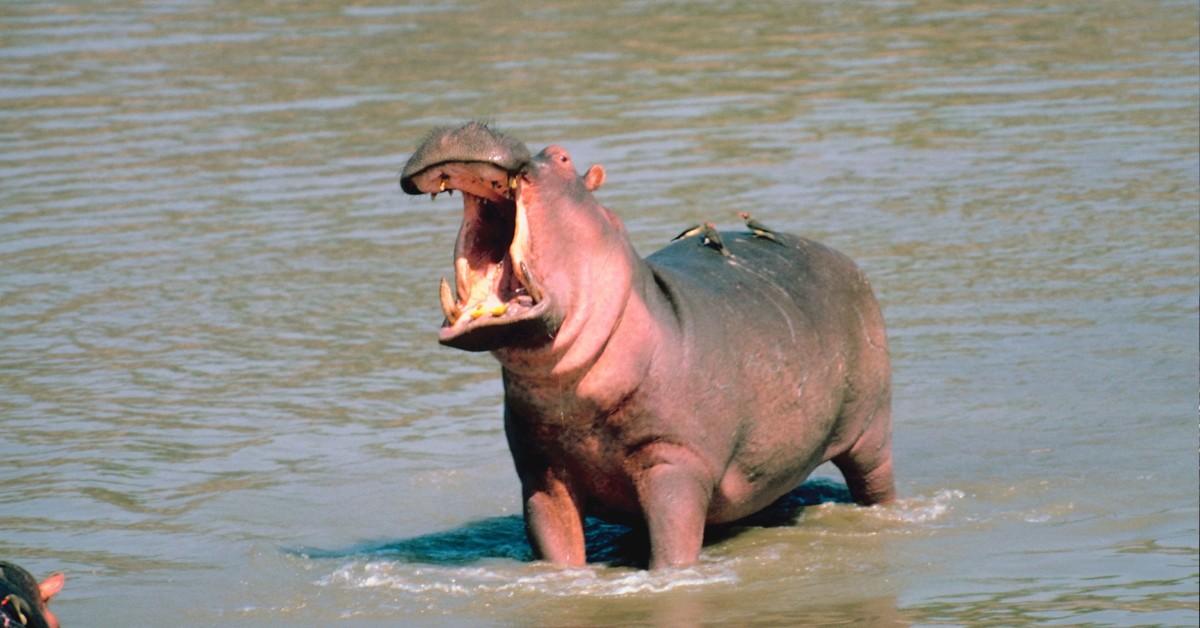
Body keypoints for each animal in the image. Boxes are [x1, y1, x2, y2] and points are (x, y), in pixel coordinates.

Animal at [400, 122, 895, 569]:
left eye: (562, 157)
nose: (463, 125)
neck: (566, 386)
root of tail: (840, 256)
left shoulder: (673, 461)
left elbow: (672, 548)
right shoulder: (542, 473)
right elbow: (558, 547)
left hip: (871, 429)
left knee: (874, 478)